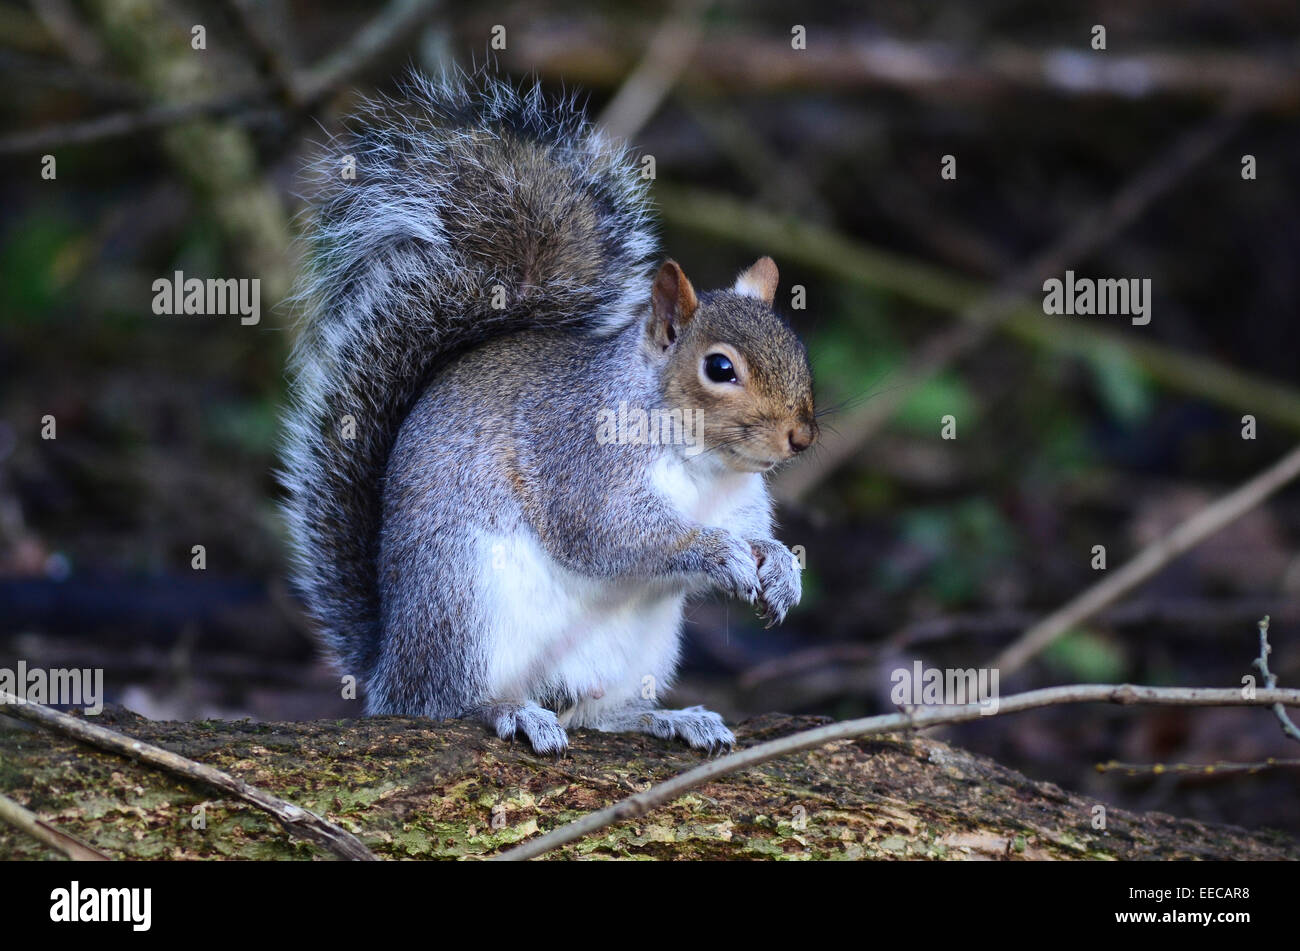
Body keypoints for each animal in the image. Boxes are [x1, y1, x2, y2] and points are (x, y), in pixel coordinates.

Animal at [280, 72, 818, 755]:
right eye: (719, 369)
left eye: (797, 347)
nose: (801, 436)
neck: (704, 463)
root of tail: (388, 671)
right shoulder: (579, 458)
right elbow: (614, 533)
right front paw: (717, 552)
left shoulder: (739, 499)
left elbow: (754, 535)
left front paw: (781, 568)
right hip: (465, 604)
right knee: (450, 704)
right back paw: (509, 711)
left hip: (638, 652)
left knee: (595, 713)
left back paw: (669, 718)